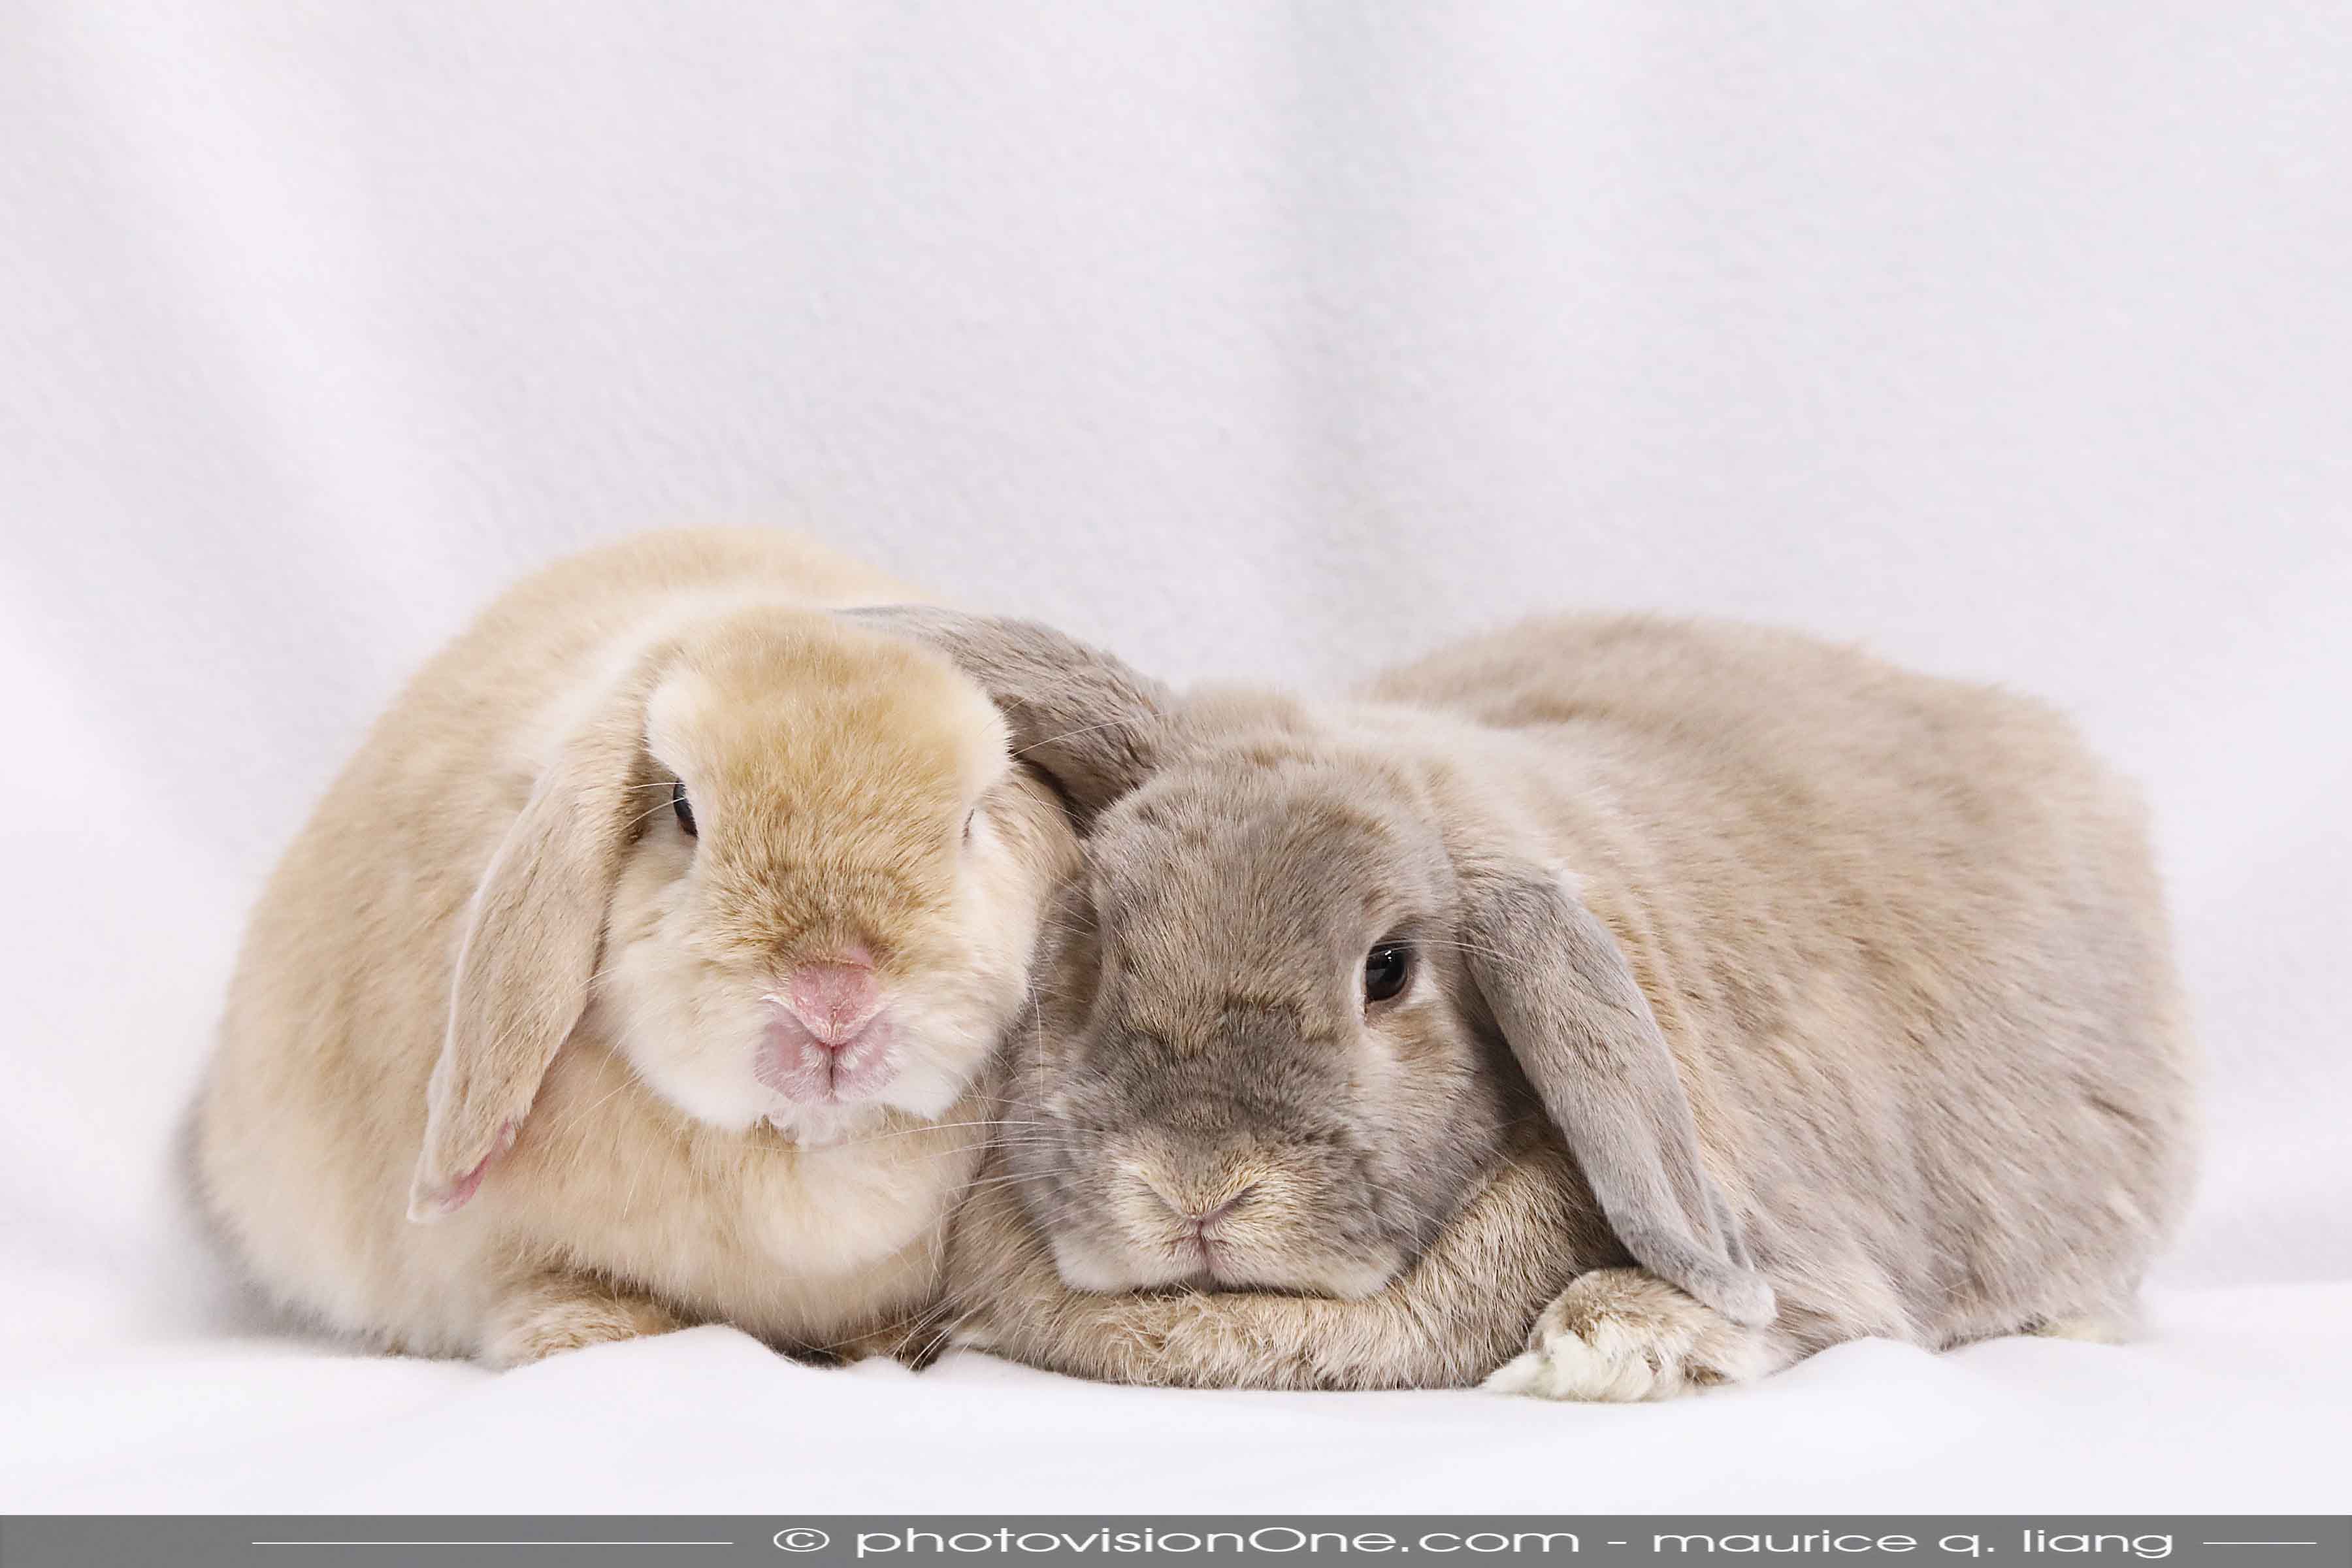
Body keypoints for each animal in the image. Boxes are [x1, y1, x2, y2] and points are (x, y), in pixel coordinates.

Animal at [191, 530, 1080, 1367]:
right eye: (683, 807)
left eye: (971, 821)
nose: (834, 993)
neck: (809, 1146)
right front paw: (592, 1330)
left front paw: (892, 1342)